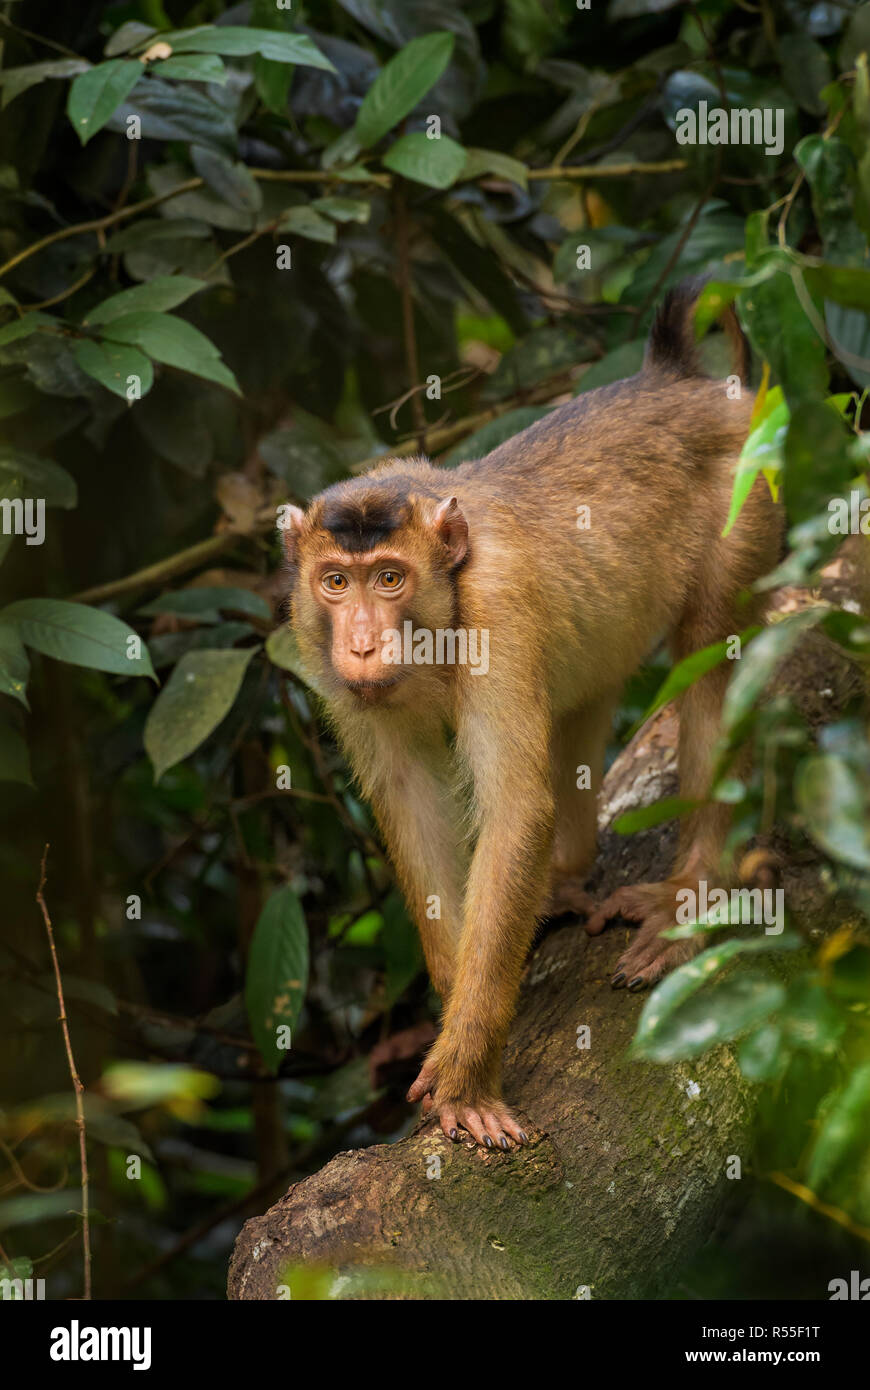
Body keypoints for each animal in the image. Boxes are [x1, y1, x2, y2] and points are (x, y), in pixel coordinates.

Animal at [280, 279, 783, 1151]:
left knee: (711, 654)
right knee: (582, 699)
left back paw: (688, 893)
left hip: (746, 494)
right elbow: (412, 803)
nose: (364, 644)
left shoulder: (499, 607)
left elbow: (514, 809)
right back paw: (567, 875)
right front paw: (458, 1006)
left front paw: (466, 1075)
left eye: (388, 578)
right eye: (335, 583)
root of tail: (678, 380)